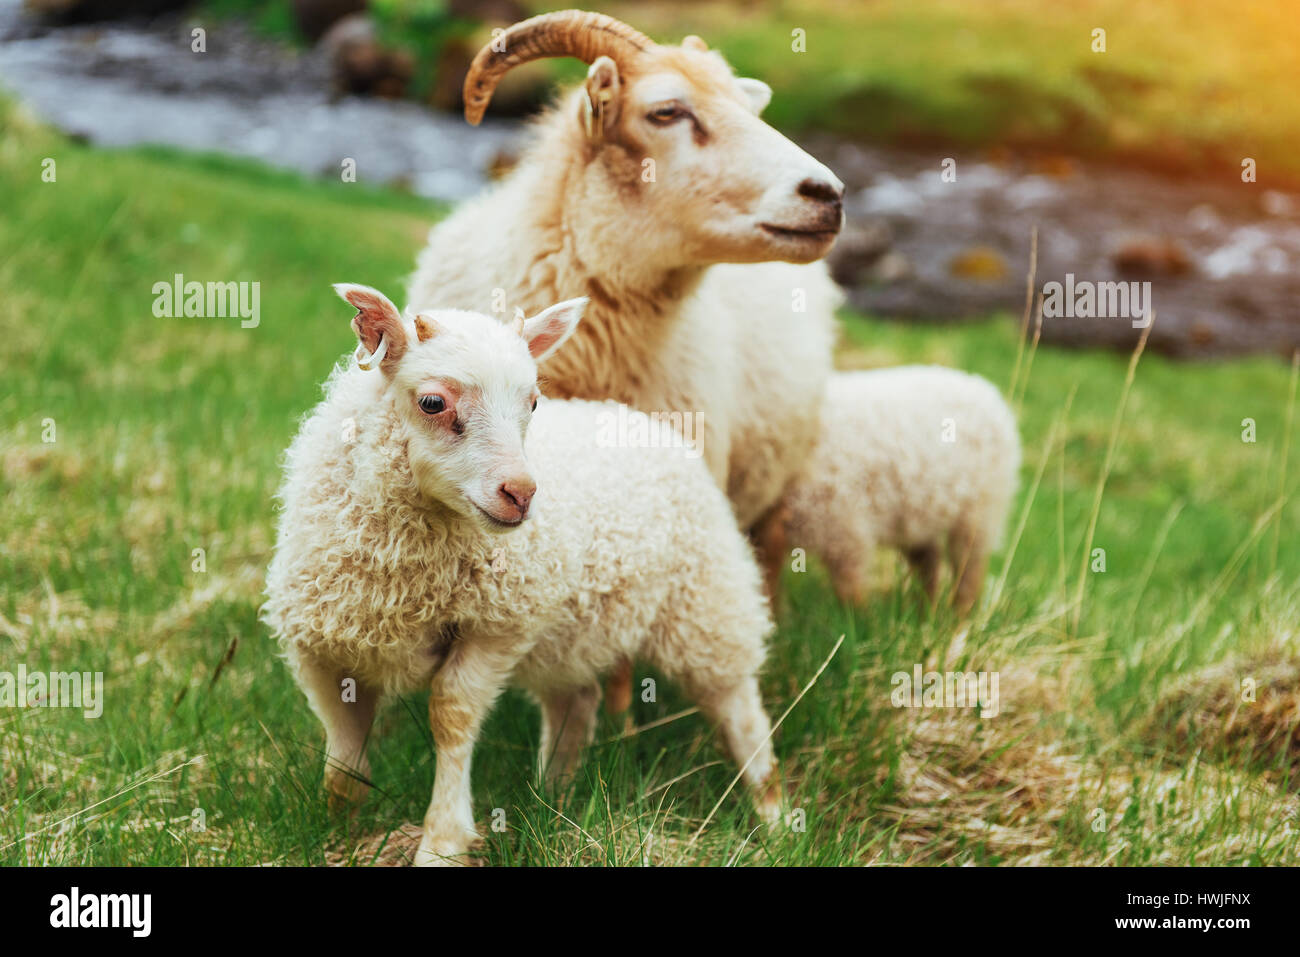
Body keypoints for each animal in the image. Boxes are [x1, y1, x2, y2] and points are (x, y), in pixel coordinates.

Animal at [263, 283, 782, 866]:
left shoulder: (498, 626)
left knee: (739, 707)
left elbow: (451, 715)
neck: (405, 572)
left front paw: (441, 843)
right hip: (573, 632)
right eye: (432, 403)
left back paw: (775, 814)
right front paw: (340, 829)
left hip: (704, 600)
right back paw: (555, 797)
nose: (522, 493)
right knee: (575, 702)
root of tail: (635, 417)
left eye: (533, 402)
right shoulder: (322, 646)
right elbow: (343, 747)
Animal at [779, 367, 1022, 614]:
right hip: (919, 516)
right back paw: (923, 614)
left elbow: (850, 588)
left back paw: (958, 616)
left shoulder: (842, 527)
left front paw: (859, 620)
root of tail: (983, 388)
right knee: (930, 561)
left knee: (969, 567)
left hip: (981, 509)